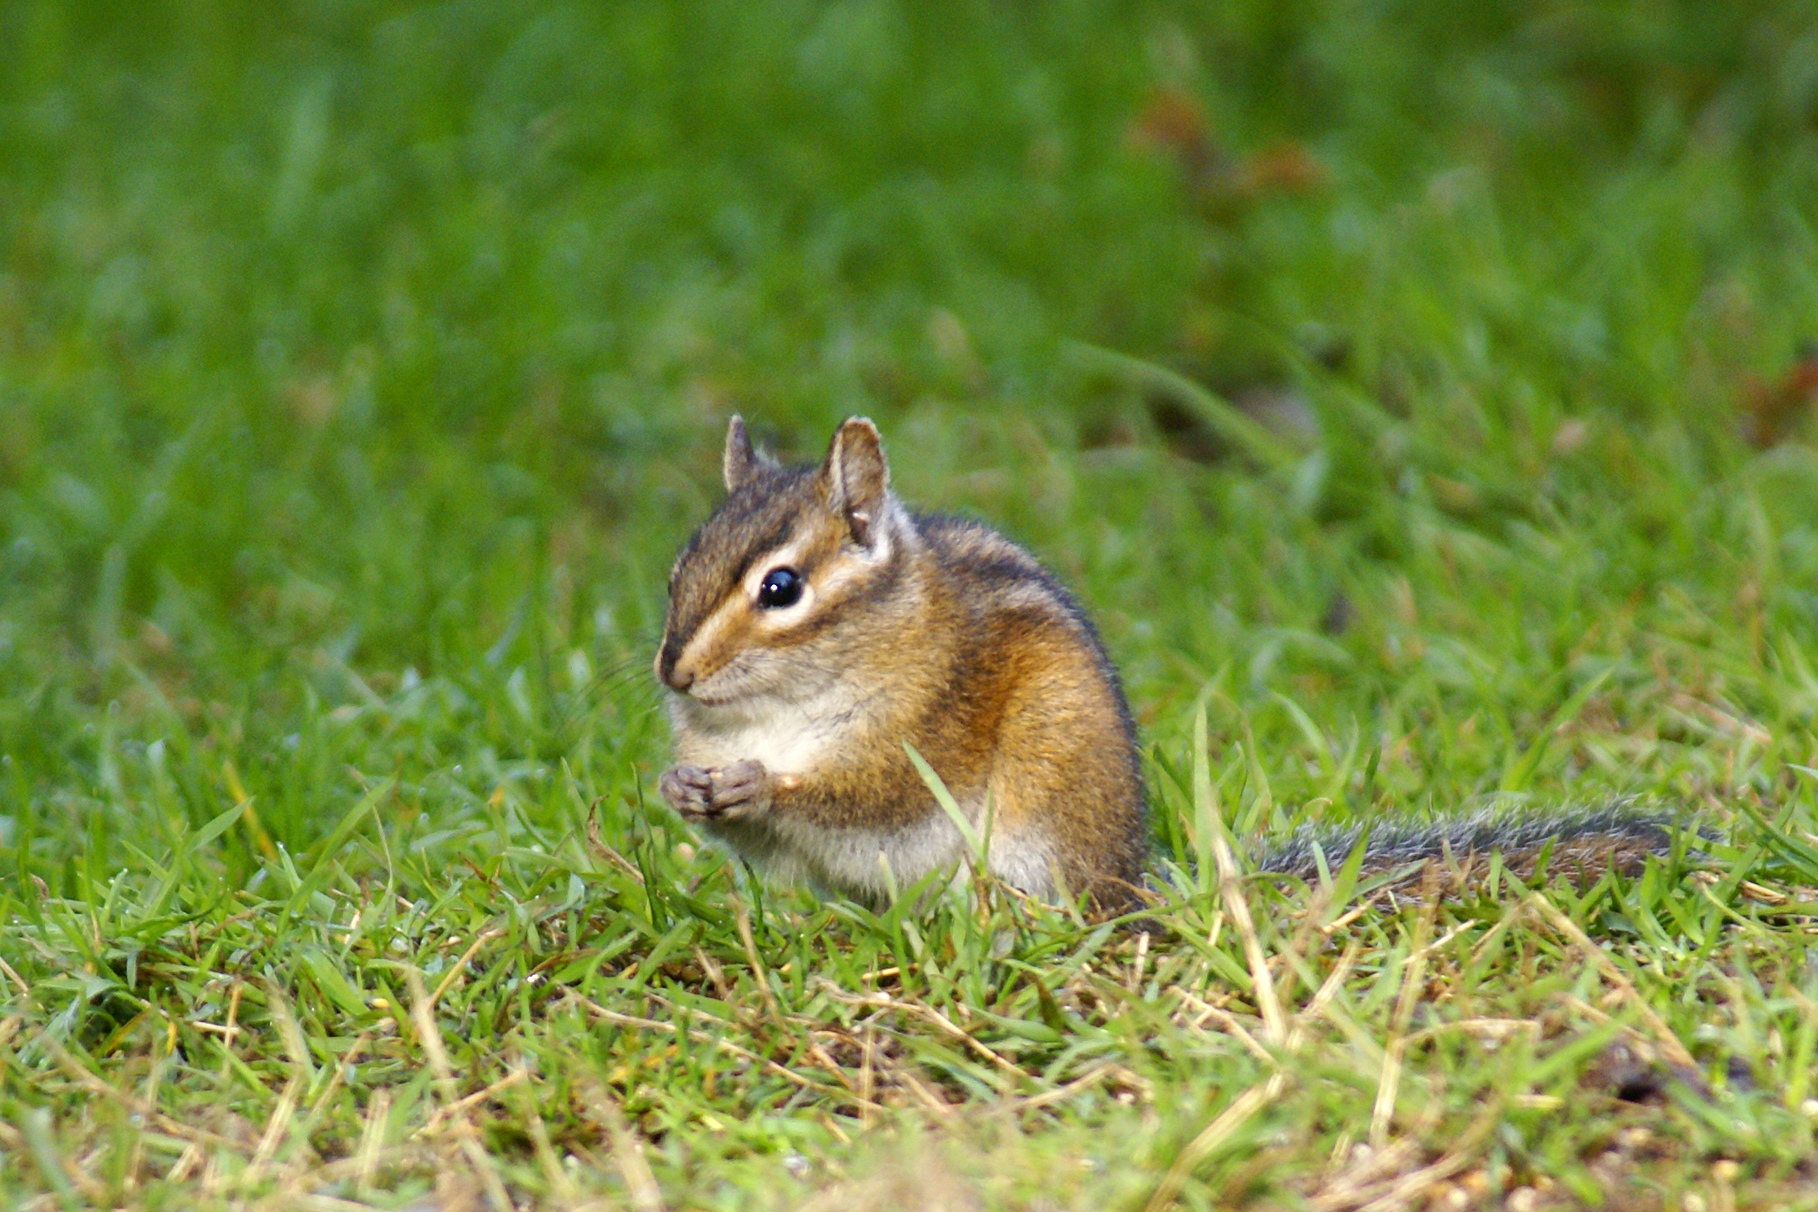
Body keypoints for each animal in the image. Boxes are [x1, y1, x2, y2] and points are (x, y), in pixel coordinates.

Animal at [655, 416, 1686, 912]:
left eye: (781, 588)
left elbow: (865, 796)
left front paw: (757, 784)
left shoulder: (927, 728)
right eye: (677, 569)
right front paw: (679, 785)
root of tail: (1131, 883)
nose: (673, 676)